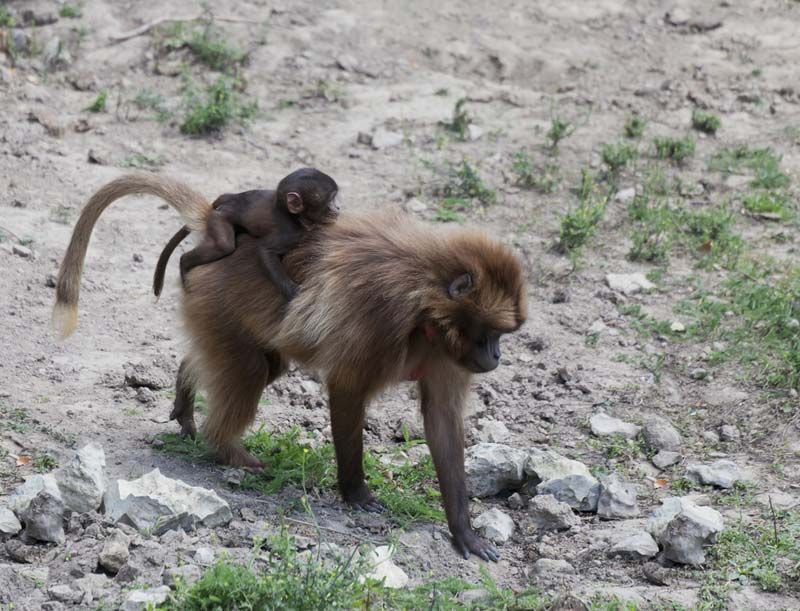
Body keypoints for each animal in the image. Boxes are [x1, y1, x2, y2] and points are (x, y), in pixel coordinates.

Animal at [152, 167, 339, 300]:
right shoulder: (290, 233)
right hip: (219, 218)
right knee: (224, 246)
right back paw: (185, 264)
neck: (291, 215)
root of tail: (226, 201)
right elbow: (264, 250)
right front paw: (292, 293)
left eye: (335, 199)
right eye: (330, 201)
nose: (337, 208)